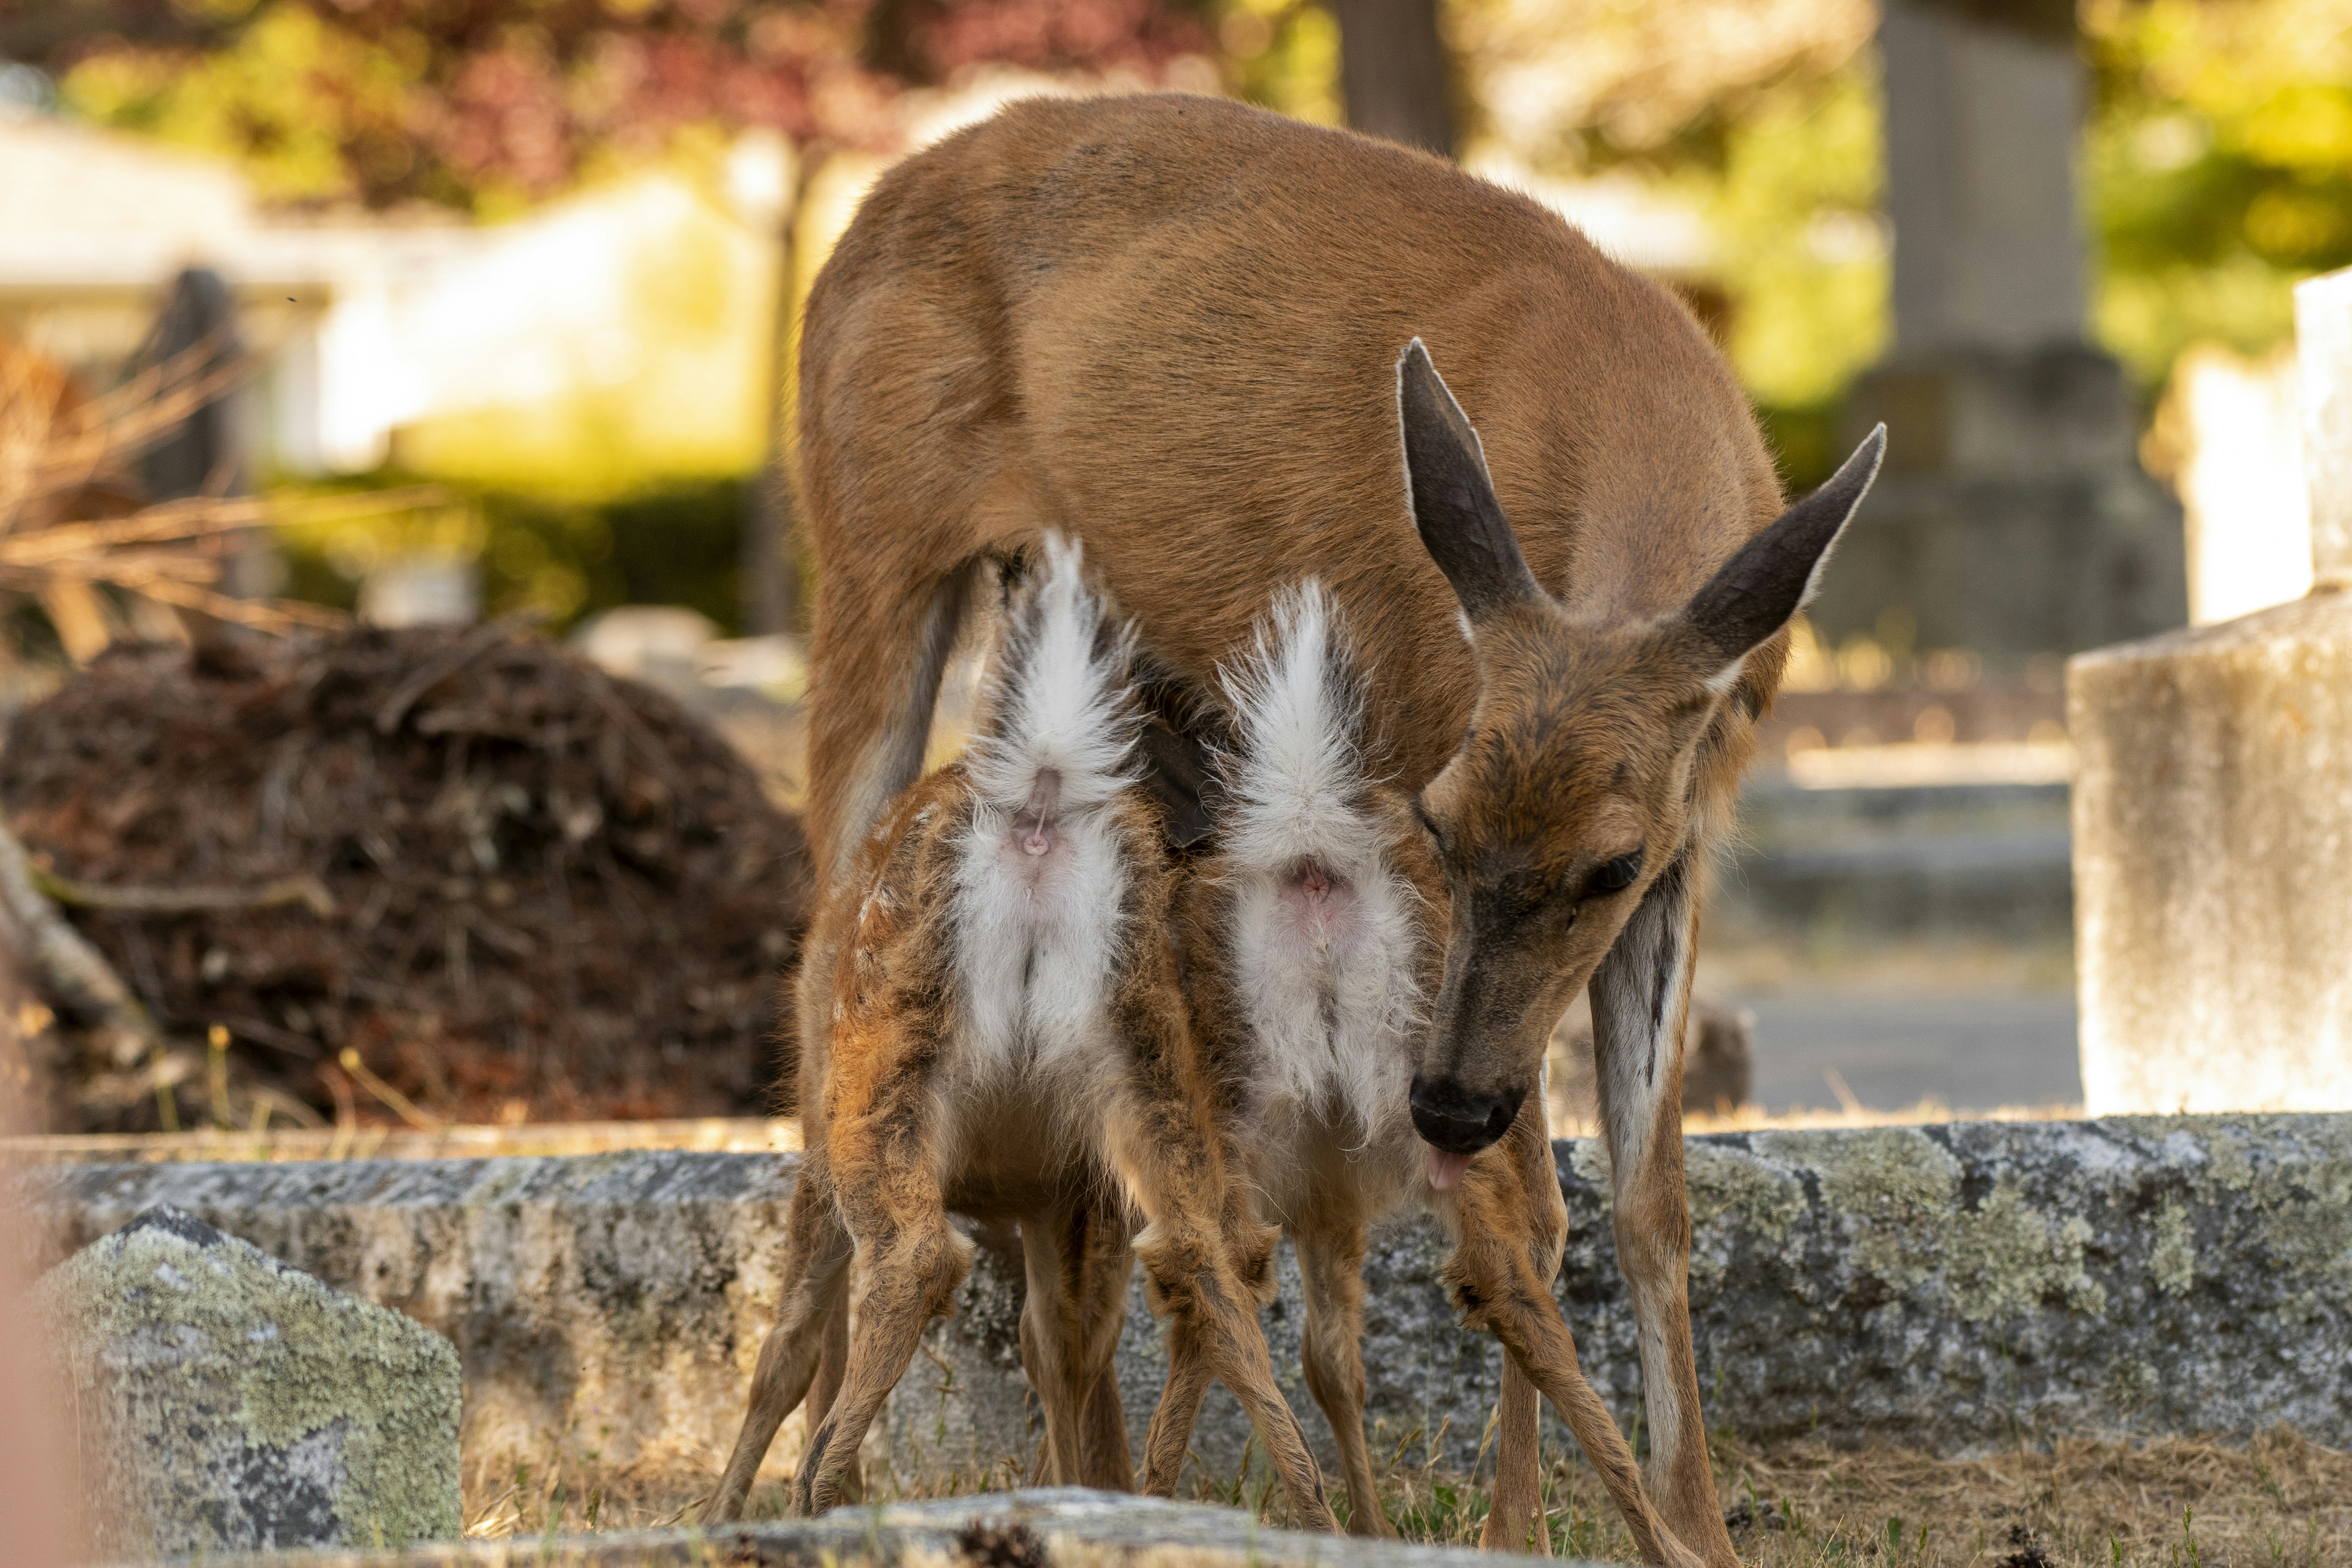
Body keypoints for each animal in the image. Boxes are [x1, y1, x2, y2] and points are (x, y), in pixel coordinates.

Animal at [699, 540, 1336, 1528]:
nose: (1210, 816)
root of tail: (1038, 810)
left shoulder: (810, 1122)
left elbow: (788, 1342)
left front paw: (718, 1511)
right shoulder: (1063, 1191)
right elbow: (1061, 1349)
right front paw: (1075, 1487)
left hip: (879, 1059)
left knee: (914, 1257)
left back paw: (815, 1495)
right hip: (1144, 1057)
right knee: (1206, 1257)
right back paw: (1312, 1515)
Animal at [789, 93, 1885, 1568]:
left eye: (1608, 863)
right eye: (1444, 820)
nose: (1449, 1098)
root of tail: (866, 211)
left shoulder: (1686, 845)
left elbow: (1652, 1198)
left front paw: (1696, 1530)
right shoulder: (1422, 739)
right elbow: (1539, 1210)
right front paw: (1518, 1529)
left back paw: (1086, 1476)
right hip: (867, 554)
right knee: (820, 992)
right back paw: (800, 1479)